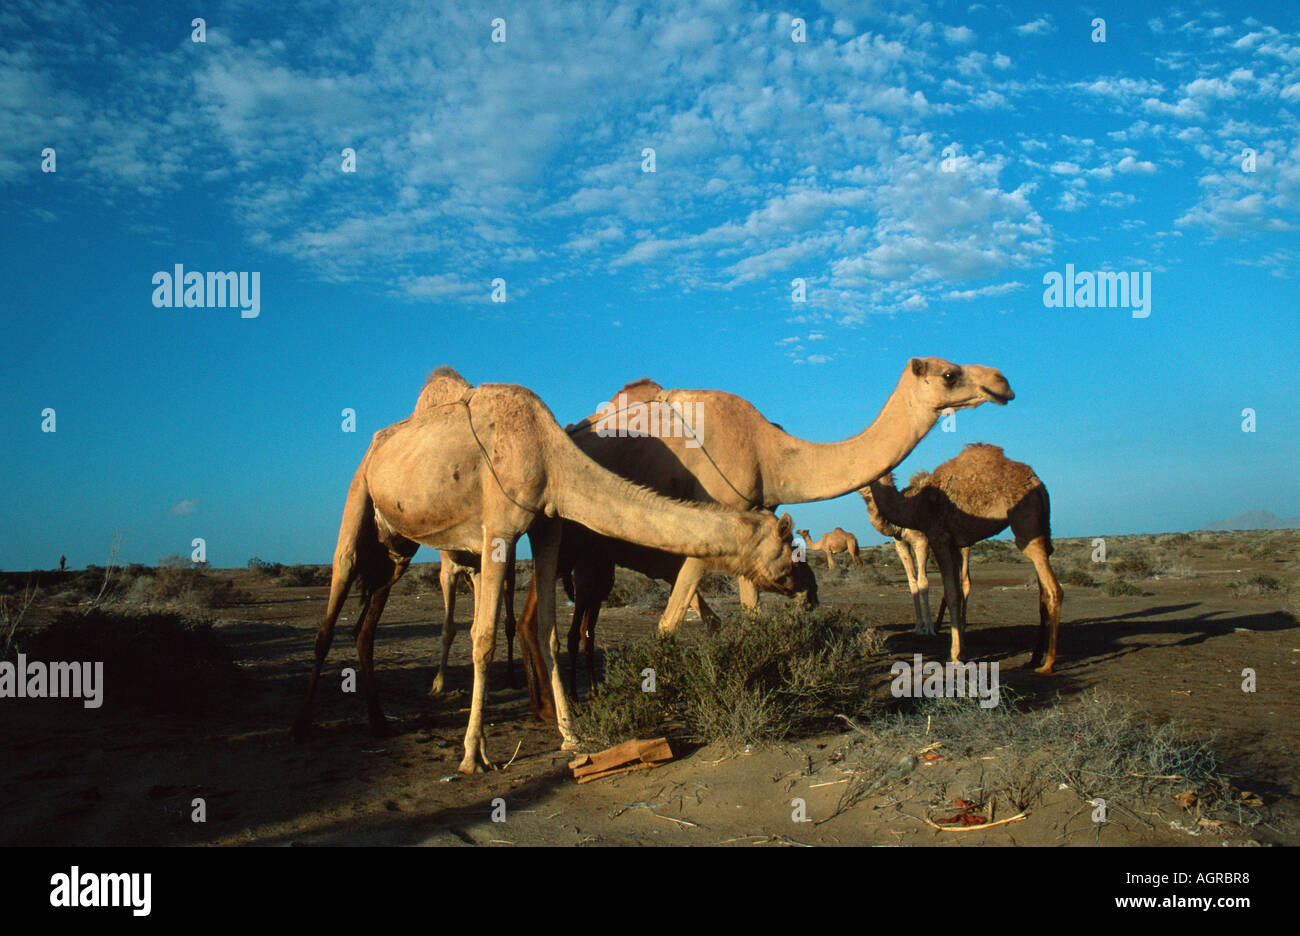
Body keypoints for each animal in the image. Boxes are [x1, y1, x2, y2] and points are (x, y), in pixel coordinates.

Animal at [290, 368, 806, 773]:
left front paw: (571, 735)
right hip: (359, 490)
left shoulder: (548, 528)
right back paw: (303, 725)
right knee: (336, 594)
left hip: (395, 545)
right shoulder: (498, 528)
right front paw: (472, 756)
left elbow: (549, 631)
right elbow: (483, 637)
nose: (802, 586)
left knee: (367, 620)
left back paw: (378, 722)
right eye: (787, 549)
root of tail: (380, 442)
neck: (548, 455)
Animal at [862, 443, 1062, 674]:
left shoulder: (938, 537)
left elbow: (951, 594)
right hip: (1042, 529)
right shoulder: (953, 543)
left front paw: (955, 655)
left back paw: (1048, 664)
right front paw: (961, 649)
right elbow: (956, 590)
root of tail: (1039, 484)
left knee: (1053, 590)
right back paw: (1034, 658)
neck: (914, 505)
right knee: (1043, 591)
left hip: (1026, 527)